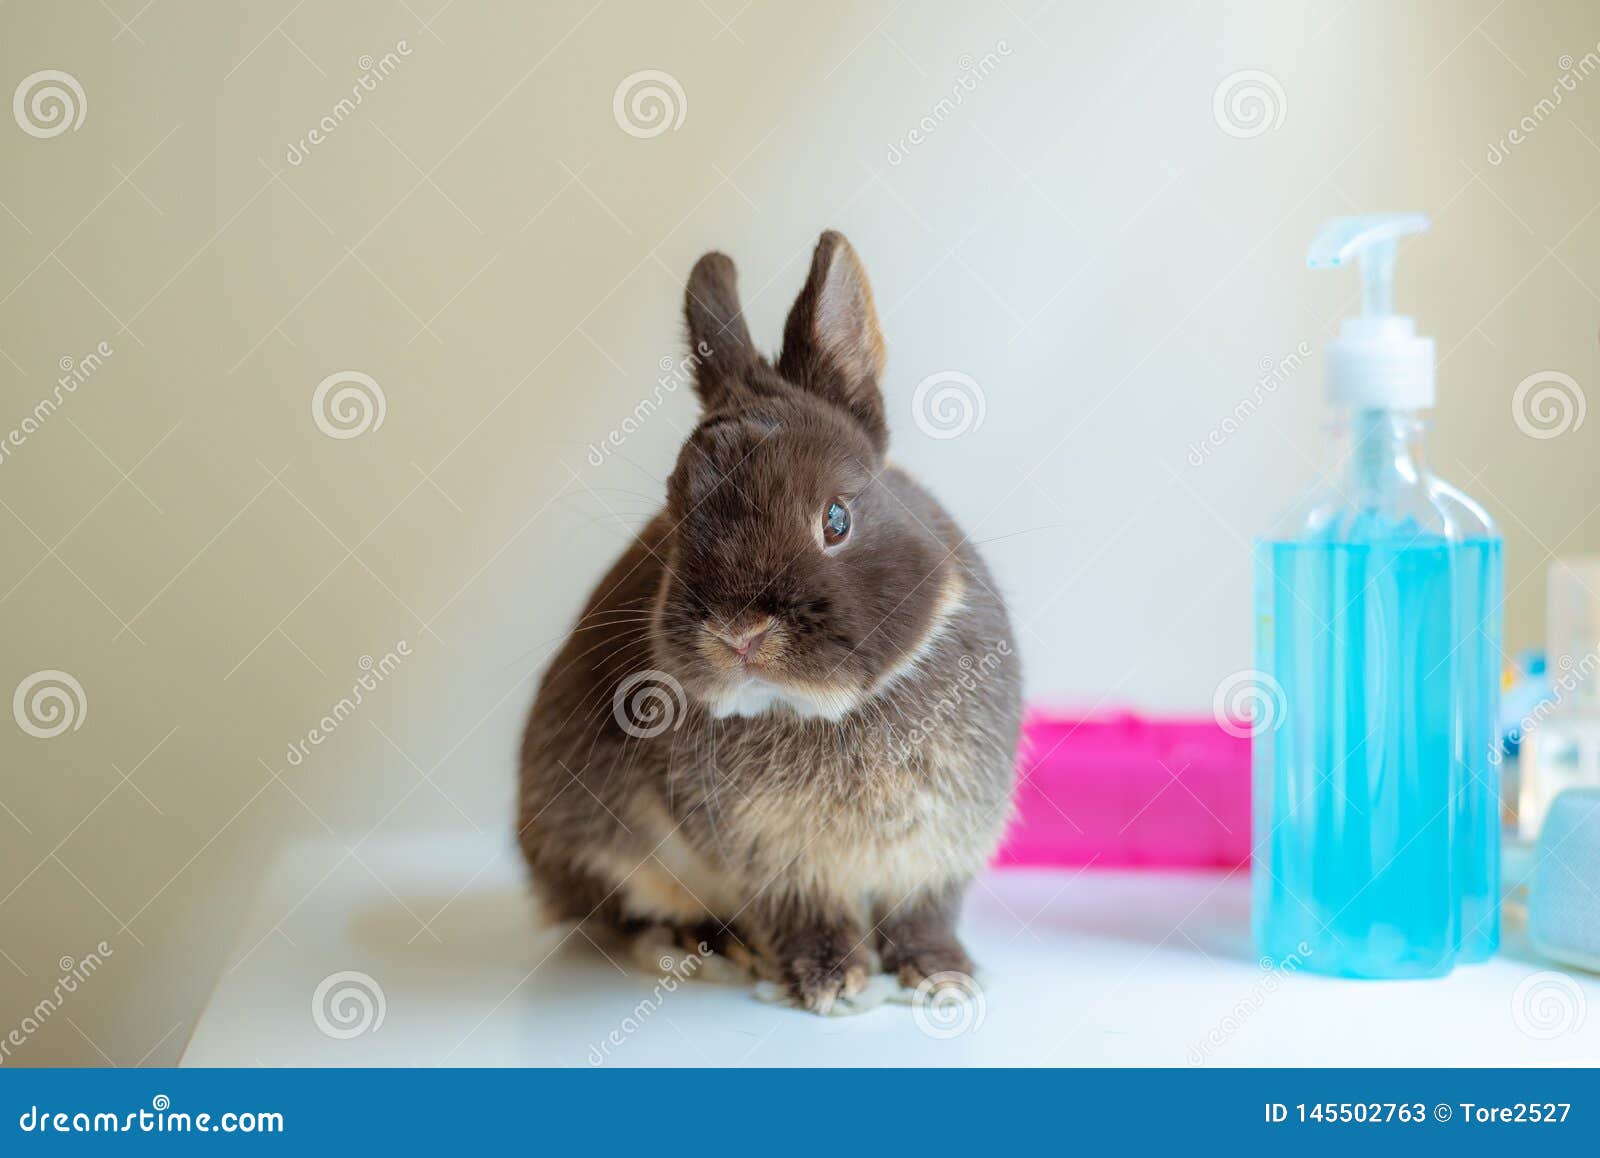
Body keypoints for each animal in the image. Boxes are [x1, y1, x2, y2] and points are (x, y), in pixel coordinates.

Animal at [518, 230, 1021, 1014]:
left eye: (836, 519)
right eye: (676, 515)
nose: (738, 636)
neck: (820, 712)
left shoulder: (939, 847)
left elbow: (923, 912)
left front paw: (943, 976)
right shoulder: (770, 859)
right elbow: (802, 910)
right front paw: (832, 982)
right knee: (619, 913)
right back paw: (704, 944)